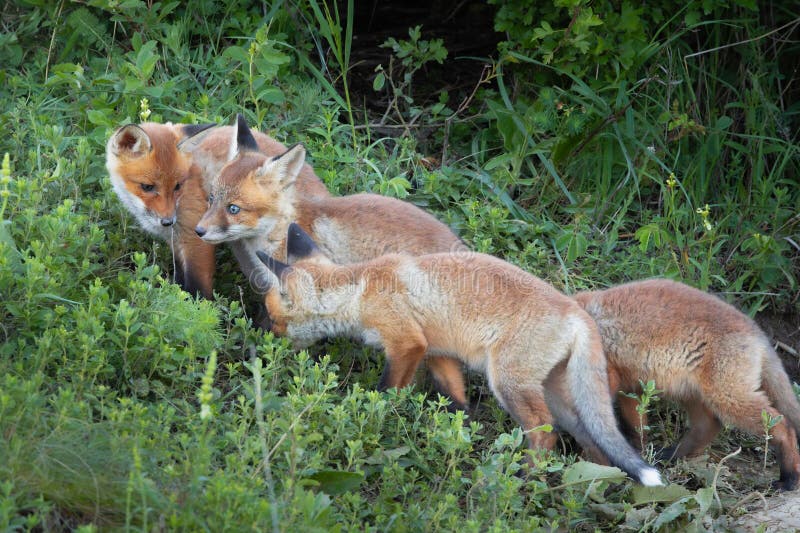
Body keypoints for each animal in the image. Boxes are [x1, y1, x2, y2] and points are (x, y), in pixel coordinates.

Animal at [105, 118, 327, 298]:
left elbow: (197, 288)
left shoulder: (195, 237)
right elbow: (180, 278)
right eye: (147, 187)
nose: (168, 221)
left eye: (178, 186)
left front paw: (196, 312)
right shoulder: (175, 240)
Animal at [253, 223, 665, 486]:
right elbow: (456, 400)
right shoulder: (438, 353)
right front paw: (457, 432)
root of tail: (576, 312)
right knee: (592, 440)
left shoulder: (406, 342)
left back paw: (524, 479)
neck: (359, 289)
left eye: (273, 318)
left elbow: (387, 391)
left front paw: (374, 419)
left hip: (510, 384)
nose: (262, 344)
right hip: (559, 396)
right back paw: (590, 485)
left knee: (544, 433)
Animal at [573, 279, 800, 490]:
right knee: (708, 425)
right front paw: (636, 455)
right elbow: (636, 428)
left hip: (728, 397)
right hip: (691, 392)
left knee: (783, 426)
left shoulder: (606, 377)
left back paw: (789, 477)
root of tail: (758, 332)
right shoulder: (629, 387)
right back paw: (675, 455)